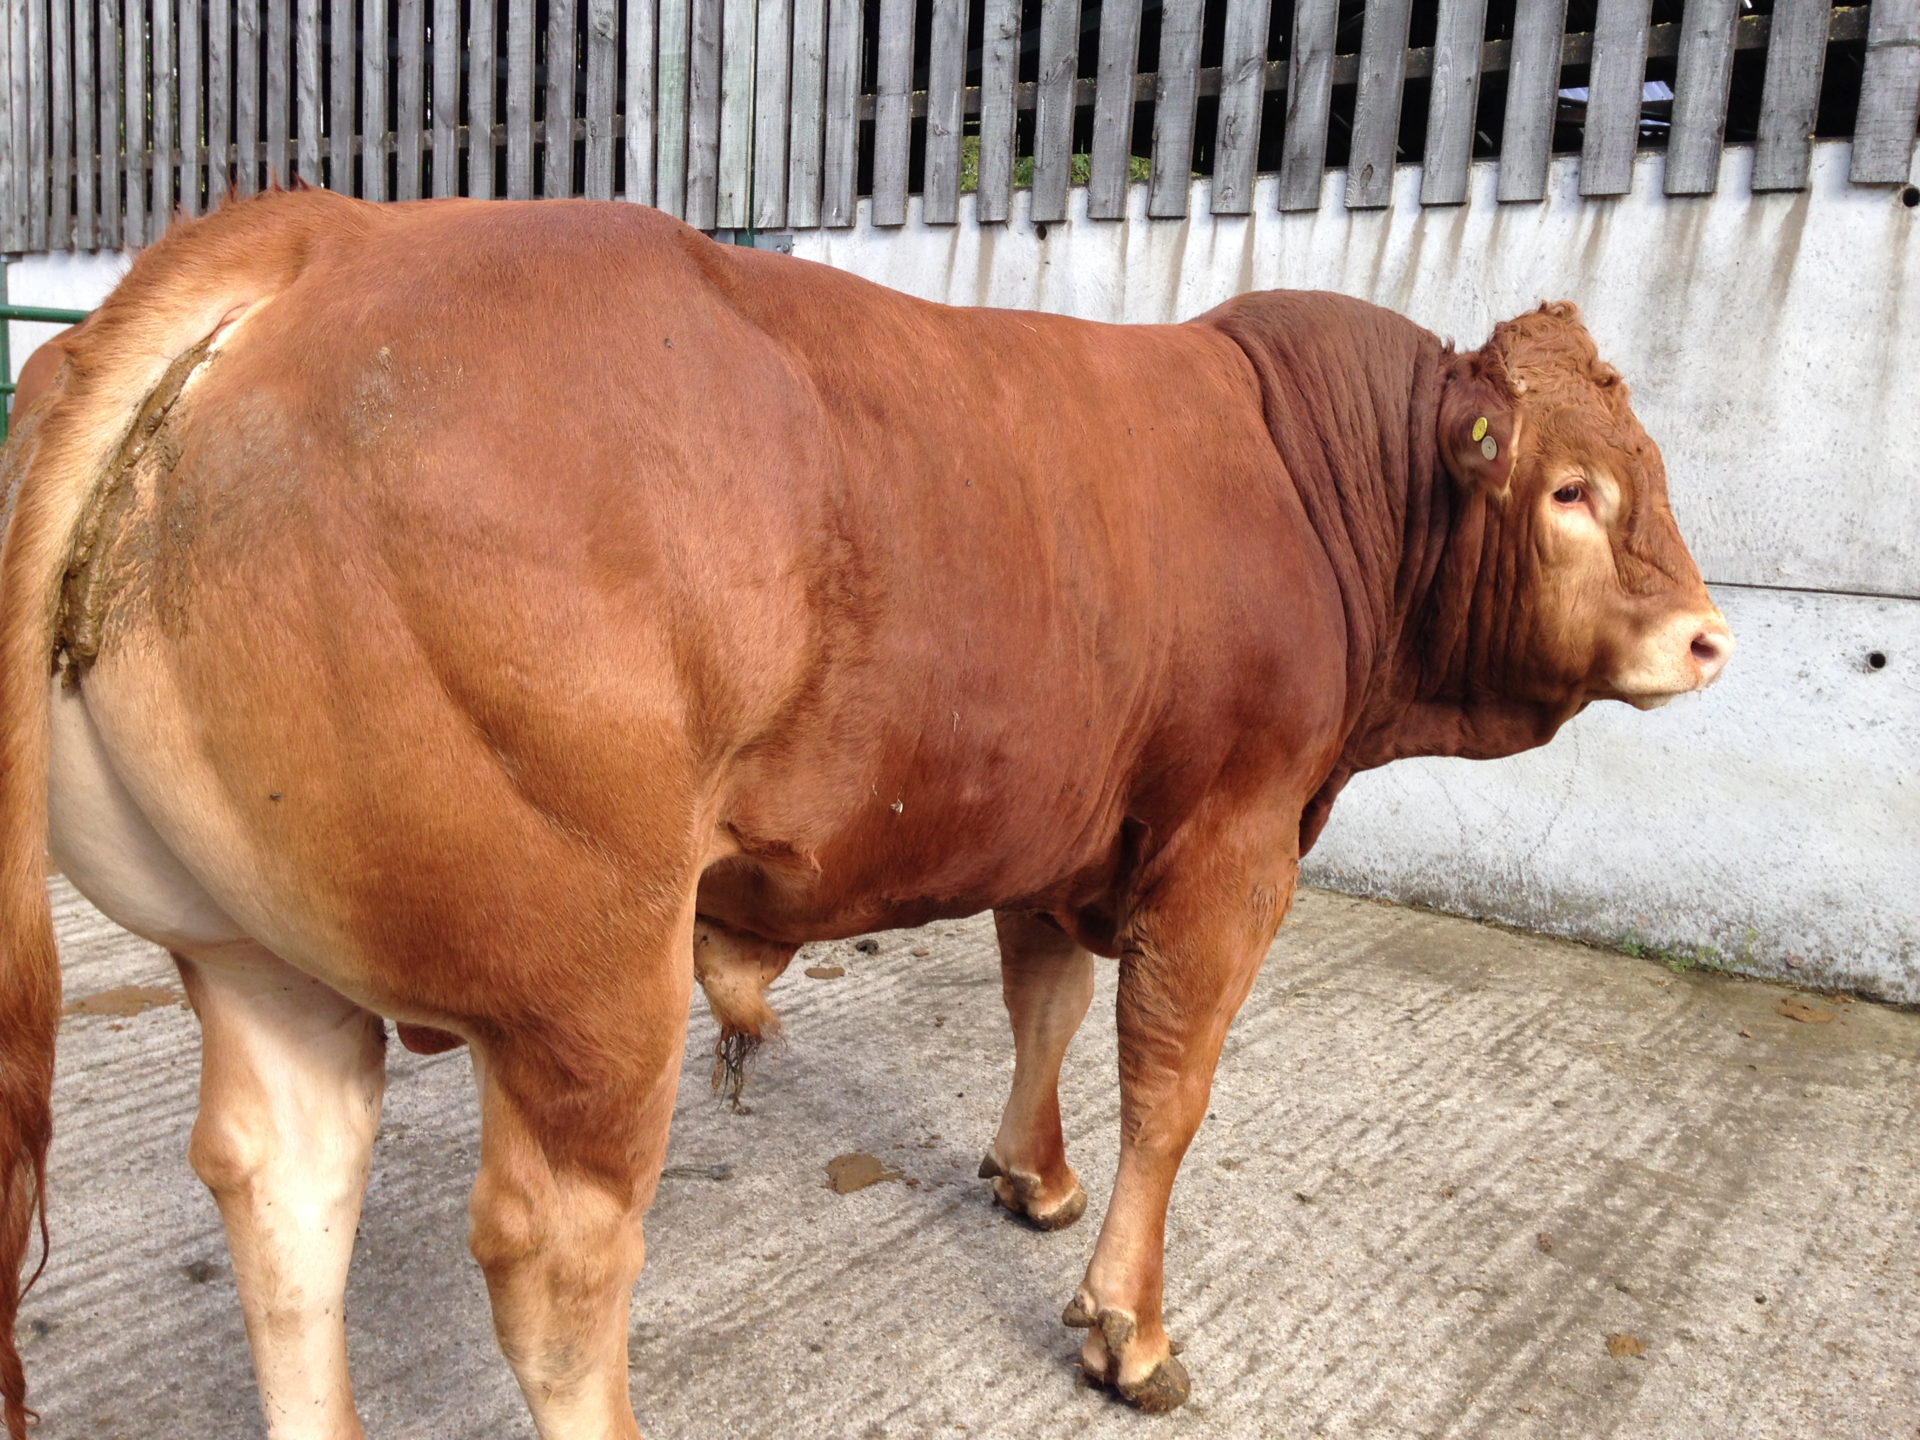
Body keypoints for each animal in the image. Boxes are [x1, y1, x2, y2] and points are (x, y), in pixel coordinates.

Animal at [0, 187, 1731, 1438]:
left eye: (1649, 463)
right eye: (1572, 489)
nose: (1712, 637)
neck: (1313, 479)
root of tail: (321, 231)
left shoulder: (1060, 819)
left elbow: (1043, 999)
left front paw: (1030, 1181)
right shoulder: (1231, 839)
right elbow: (1168, 1085)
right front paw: (1129, 1325)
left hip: (256, 959)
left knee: (287, 1202)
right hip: (589, 972)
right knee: (554, 1261)